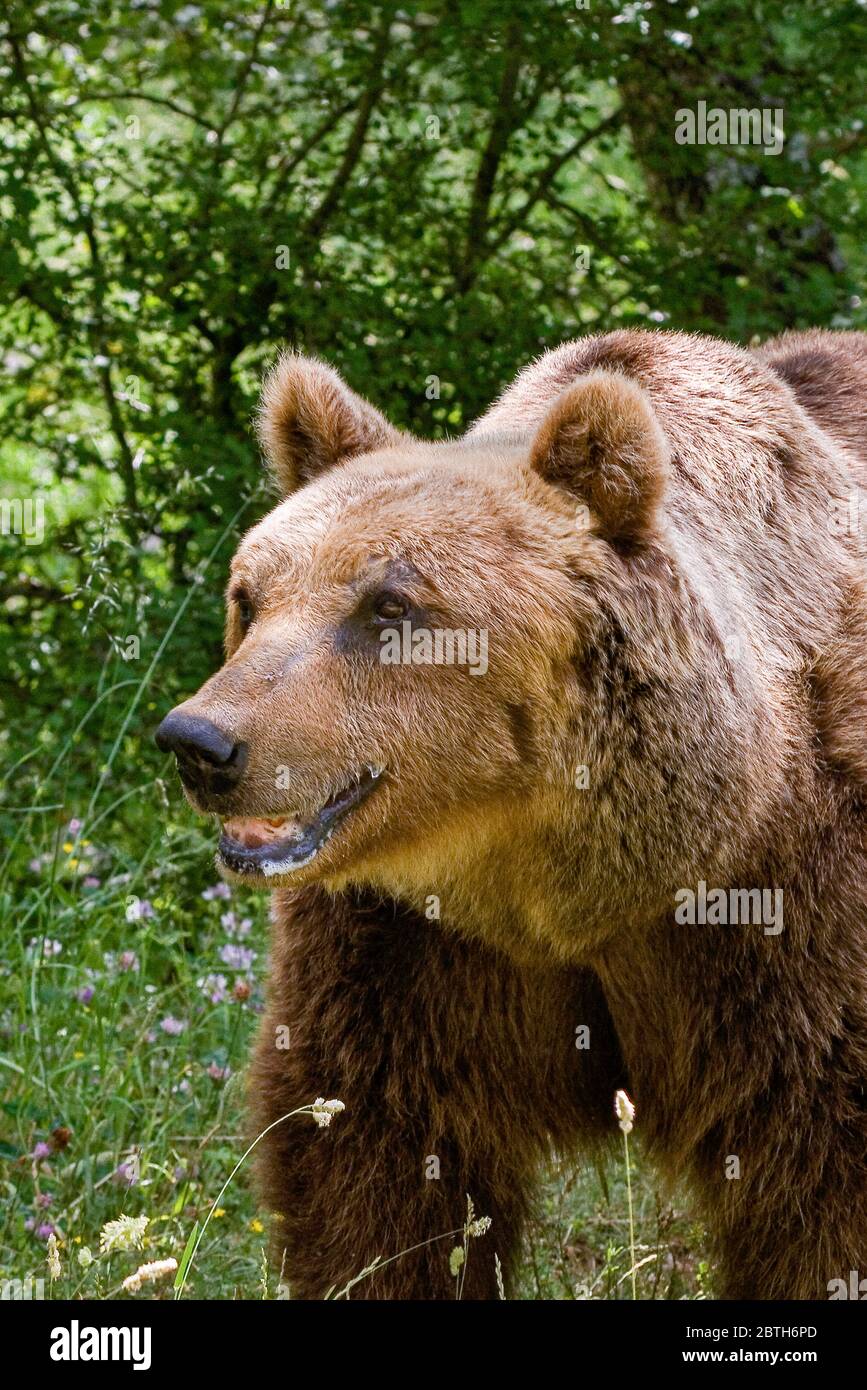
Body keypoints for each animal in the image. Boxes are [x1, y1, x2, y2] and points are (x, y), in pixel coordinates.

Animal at [155, 327, 867, 1300]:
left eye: (388, 605)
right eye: (249, 598)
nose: (201, 743)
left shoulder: (796, 900)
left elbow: (822, 1171)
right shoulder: (410, 948)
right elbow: (378, 1162)